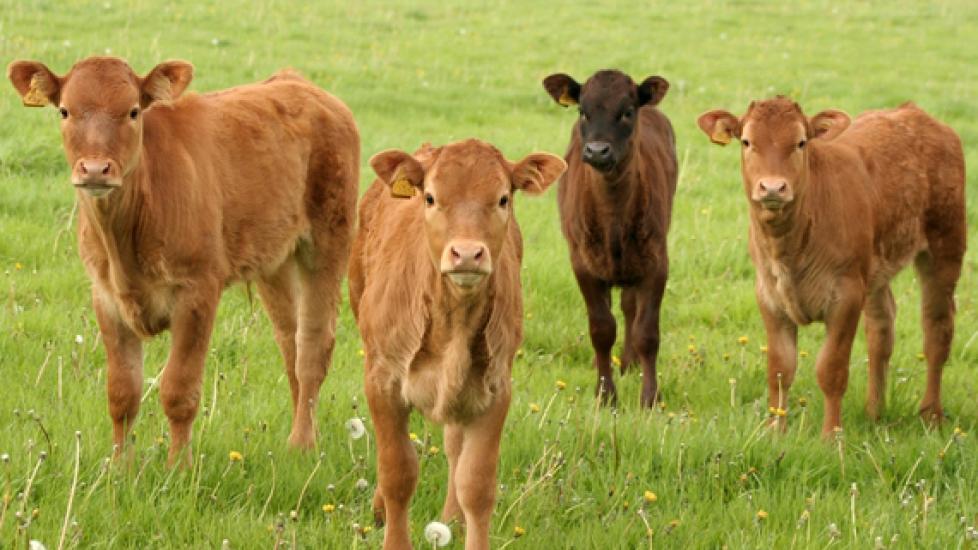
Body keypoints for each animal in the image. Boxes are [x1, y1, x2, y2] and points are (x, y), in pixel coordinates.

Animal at [7, 57, 359, 465]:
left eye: (133, 111)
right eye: (64, 111)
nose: (95, 169)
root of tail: (299, 84)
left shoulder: (198, 291)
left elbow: (179, 389)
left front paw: (179, 466)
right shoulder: (105, 296)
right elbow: (122, 392)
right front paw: (120, 468)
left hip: (328, 241)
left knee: (313, 348)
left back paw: (302, 443)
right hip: (275, 261)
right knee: (292, 343)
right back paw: (299, 433)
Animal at [349, 139, 566, 550]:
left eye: (502, 198)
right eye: (431, 197)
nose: (466, 253)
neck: (453, 319)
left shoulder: (495, 390)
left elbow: (476, 485)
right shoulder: (382, 380)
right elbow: (397, 472)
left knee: (453, 444)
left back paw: (451, 517)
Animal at [542, 70, 677, 408]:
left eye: (627, 112)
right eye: (582, 111)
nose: (597, 151)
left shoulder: (657, 262)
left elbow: (647, 333)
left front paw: (649, 398)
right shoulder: (582, 264)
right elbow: (601, 329)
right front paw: (605, 394)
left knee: (629, 308)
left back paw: (629, 363)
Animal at [697, 97, 966, 436]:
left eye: (800, 142)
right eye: (746, 141)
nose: (772, 188)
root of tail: (913, 111)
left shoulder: (846, 296)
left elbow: (831, 370)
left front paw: (831, 436)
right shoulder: (769, 296)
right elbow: (780, 370)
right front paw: (775, 430)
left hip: (945, 245)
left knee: (937, 329)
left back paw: (931, 414)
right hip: (874, 270)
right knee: (881, 330)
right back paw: (874, 412)